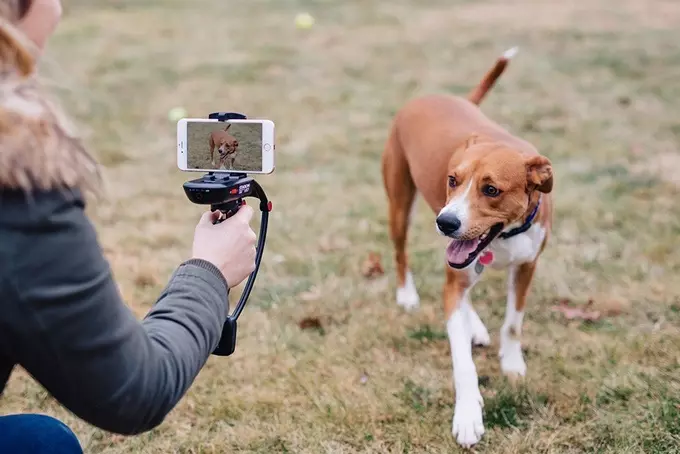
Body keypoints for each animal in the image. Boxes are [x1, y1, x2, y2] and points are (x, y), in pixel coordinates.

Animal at [380, 46, 556, 446]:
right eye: (452, 179)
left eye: (491, 189)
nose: (446, 222)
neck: (504, 234)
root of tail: (430, 96)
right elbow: (462, 361)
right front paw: (467, 415)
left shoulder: (527, 266)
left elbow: (513, 323)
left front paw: (512, 364)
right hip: (399, 205)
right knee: (402, 254)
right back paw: (407, 295)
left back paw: (472, 322)